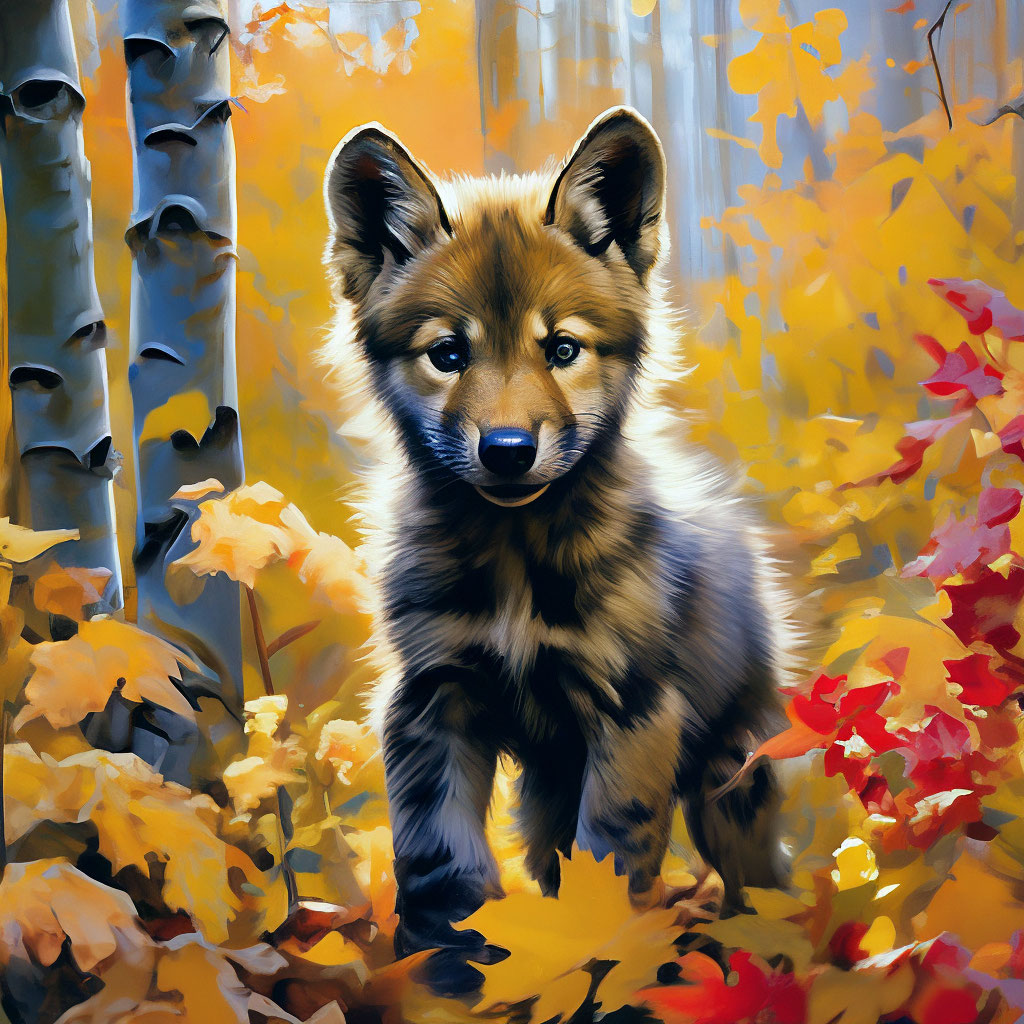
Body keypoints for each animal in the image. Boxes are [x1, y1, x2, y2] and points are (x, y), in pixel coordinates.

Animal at [322, 107, 792, 994]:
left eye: (563, 349)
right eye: (449, 354)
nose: (507, 450)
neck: (514, 558)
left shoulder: (631, 711)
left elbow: (612, 859)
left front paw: (601, 970)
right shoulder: (431, 697)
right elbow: (440, 861)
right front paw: (450, 978)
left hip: (730, 774)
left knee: (761, 880)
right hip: (546, 785)